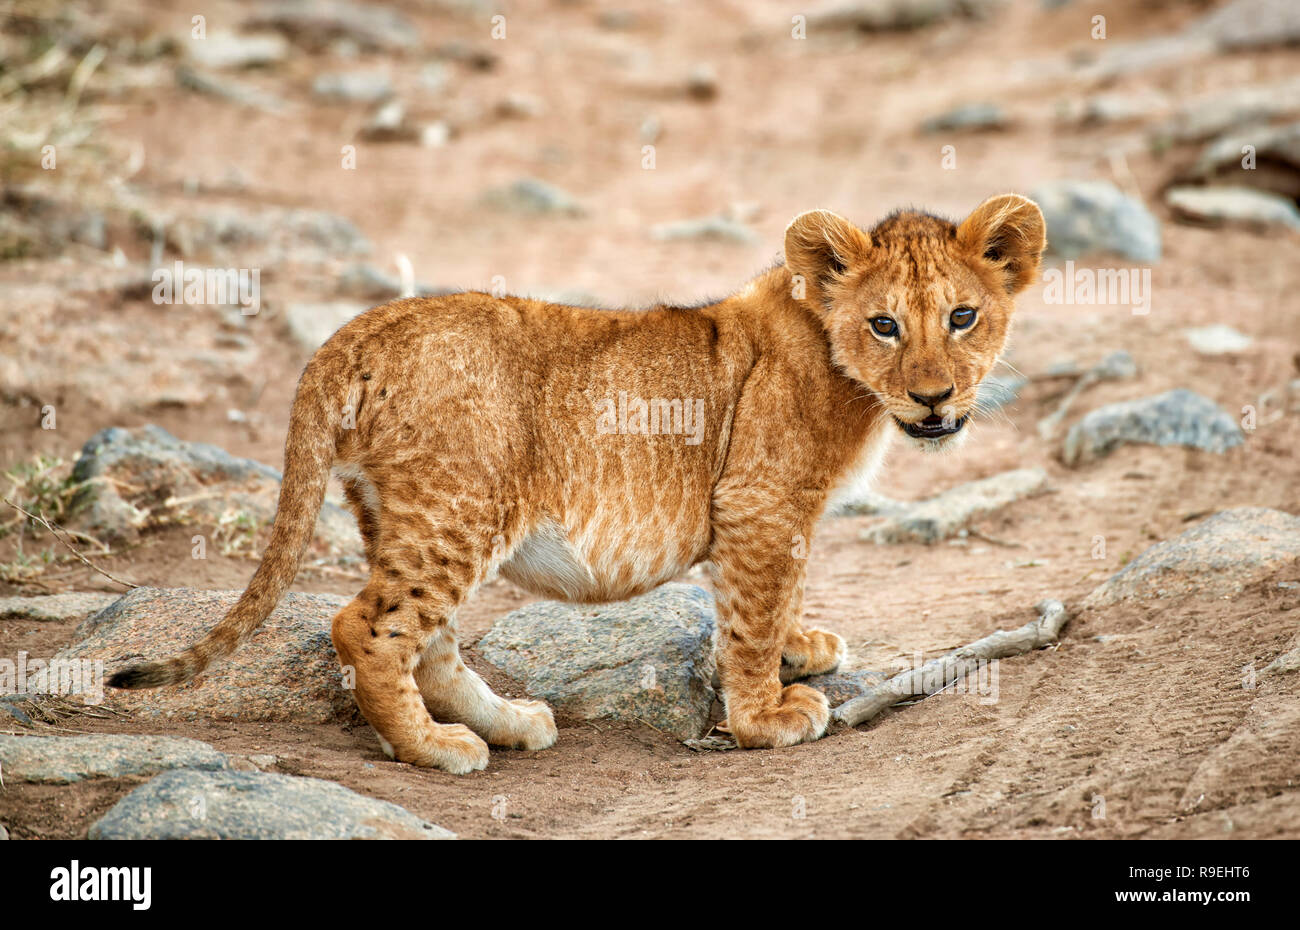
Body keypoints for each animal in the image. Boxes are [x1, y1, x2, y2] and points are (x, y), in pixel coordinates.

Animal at [108, 194, 1046, 774]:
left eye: (963, 317)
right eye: (884, 325)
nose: (934, 397)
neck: (841, 366)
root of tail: (358, 331)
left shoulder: (775, 515)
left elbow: (776, 594)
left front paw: (800, 647)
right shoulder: (759, 500)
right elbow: (749, 613)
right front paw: (766, 716)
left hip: (404, 513)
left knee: (430, 641)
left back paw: (507, 724)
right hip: (459, 508)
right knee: (366, 629)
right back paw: (436, 749)